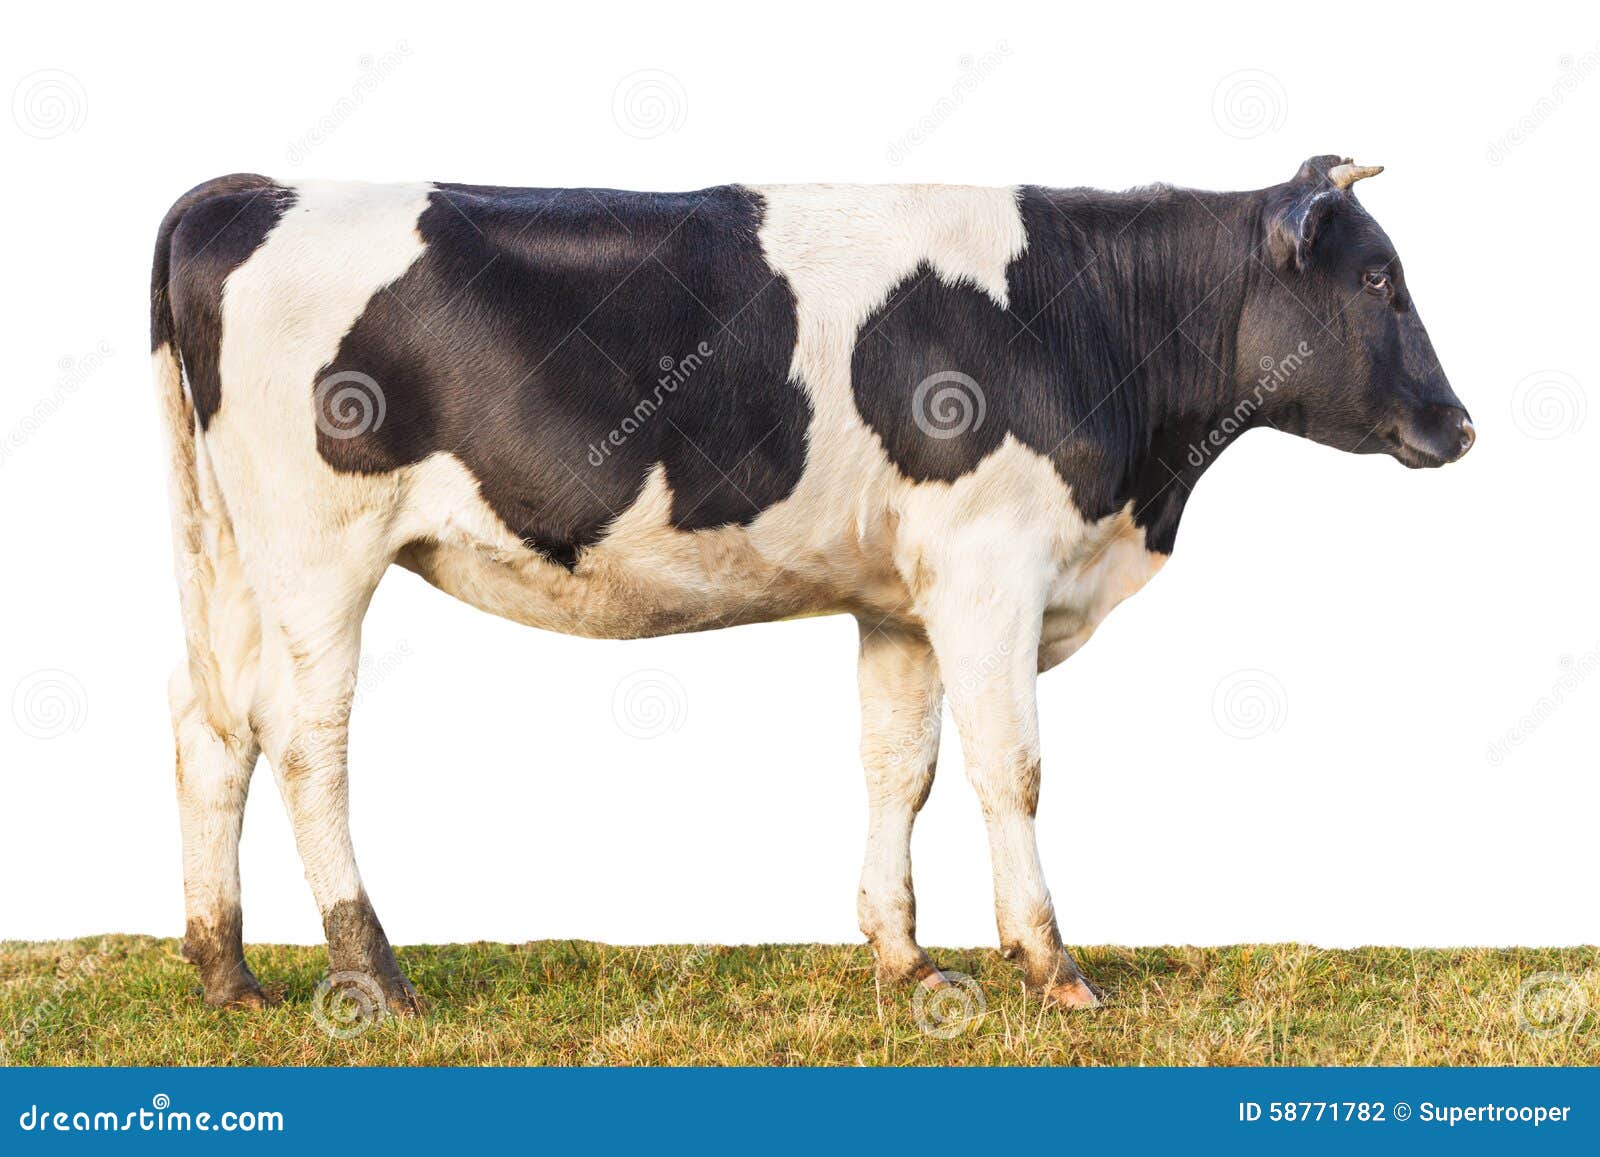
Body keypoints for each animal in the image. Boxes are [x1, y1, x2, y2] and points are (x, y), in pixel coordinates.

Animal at [151, 155, 1472, 1013]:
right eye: (1376, 282)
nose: (1457, 423)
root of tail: (247, 190)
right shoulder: (989, 566)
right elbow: (1011, 767)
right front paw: (1052, 966)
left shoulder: (902, 599)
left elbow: (902, 767)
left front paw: (907, 960)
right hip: (320, 544)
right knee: (307, 738)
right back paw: (371, 974)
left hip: (230, 550)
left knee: (212, 726)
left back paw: (229, 974)